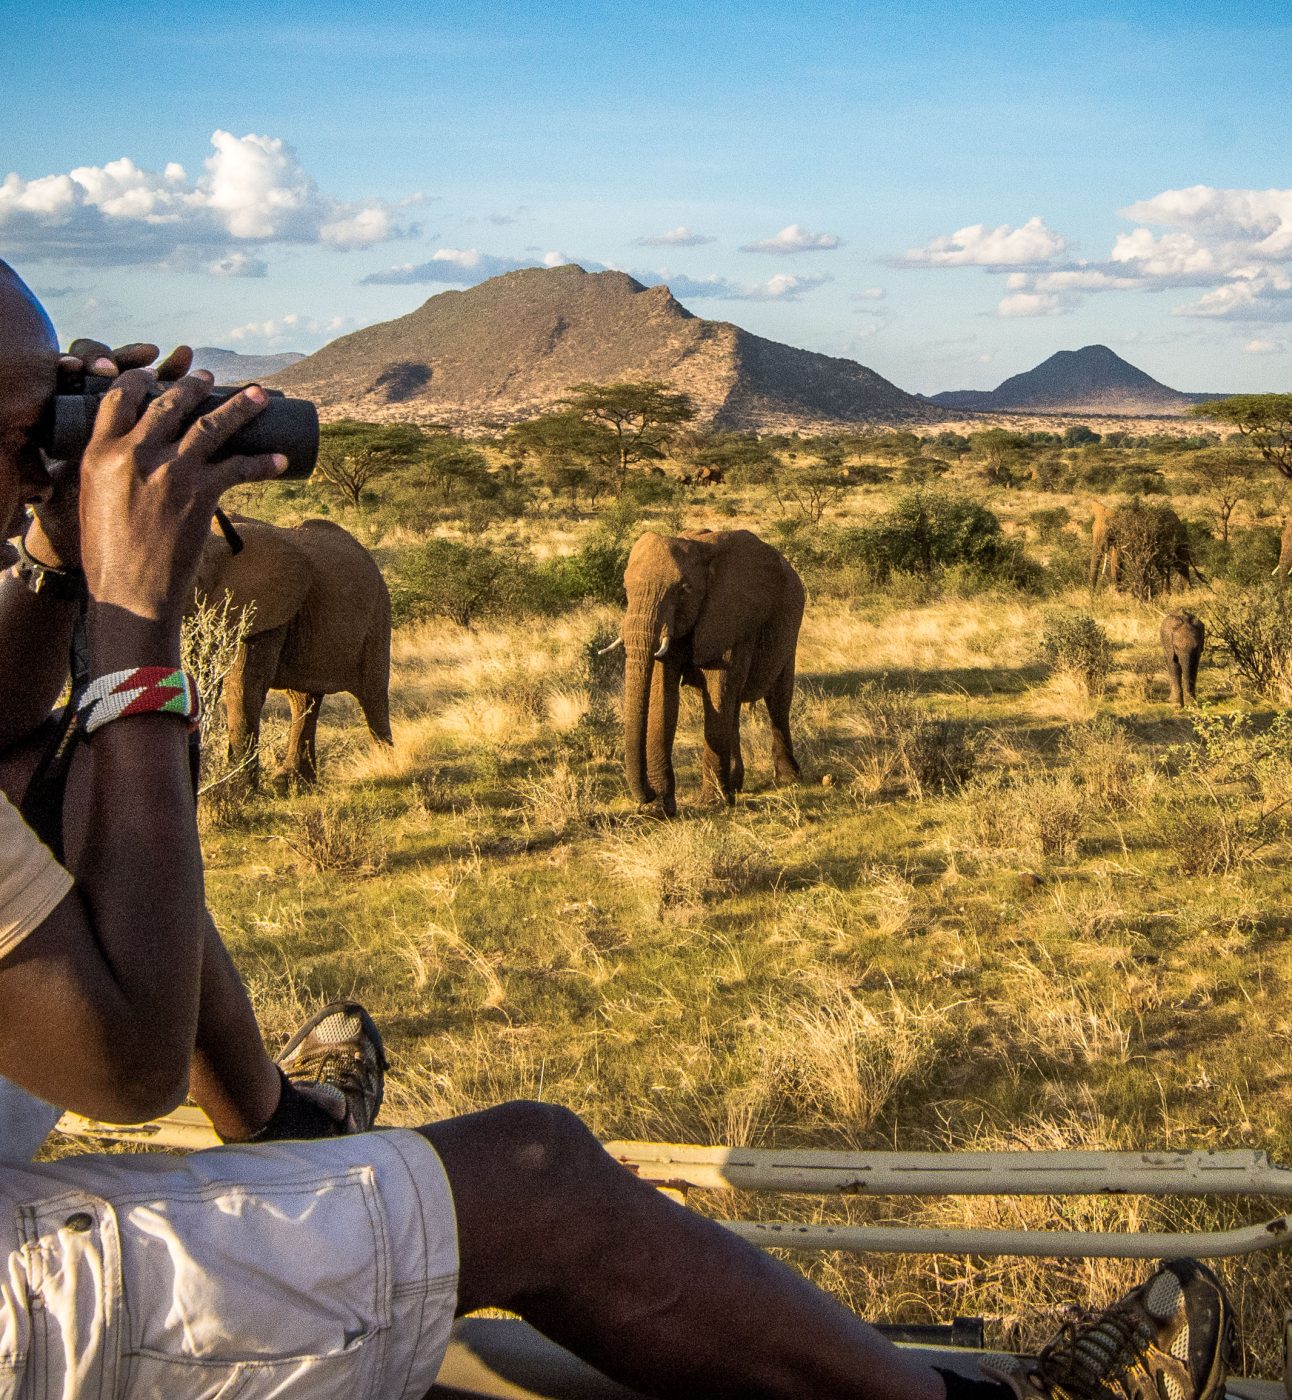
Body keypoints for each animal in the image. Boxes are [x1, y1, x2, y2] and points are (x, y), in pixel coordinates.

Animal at [192, 514, 393, 785]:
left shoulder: (267, 610)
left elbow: (243, 685)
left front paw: (235, 789)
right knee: (303, 699)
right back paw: (293, 782)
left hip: (378, 616)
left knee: (373, 695)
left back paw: (388, 766)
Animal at [623, 529, 804, 816]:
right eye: (626, 589)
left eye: (683, 590)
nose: (647, 796)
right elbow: (663, 697)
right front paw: (660, 810)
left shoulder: (730, 615)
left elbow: (719, 688)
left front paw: (712, 804)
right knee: (734, 705)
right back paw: (735, 785)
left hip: (790, 628)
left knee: (778, 700)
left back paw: (788, 779)